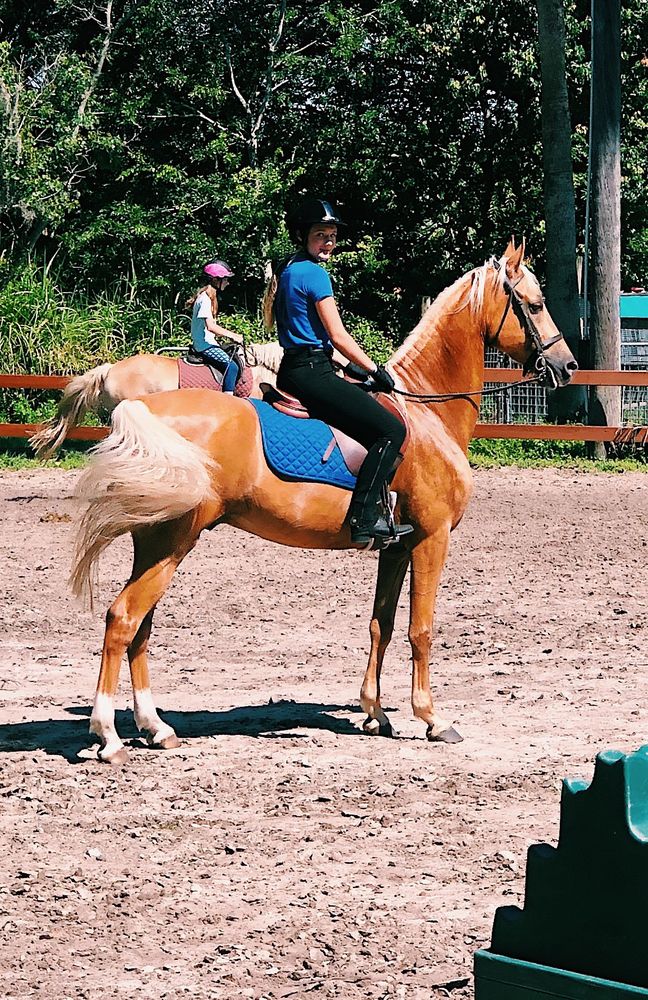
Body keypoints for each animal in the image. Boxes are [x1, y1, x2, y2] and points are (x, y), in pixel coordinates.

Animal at [70, 241, 577, 765]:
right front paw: (433, 719)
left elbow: (381, 624)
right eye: (535, 303)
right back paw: (108, 737)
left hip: (156, 541)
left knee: (140, 627)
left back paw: (156, 727)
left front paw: (375, 713)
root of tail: (146, 410)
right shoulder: (430, 539)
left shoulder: (396, 546)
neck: (427, 413)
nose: (567, 366)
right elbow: (420, 629)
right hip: (173, 542)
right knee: (123, 619)